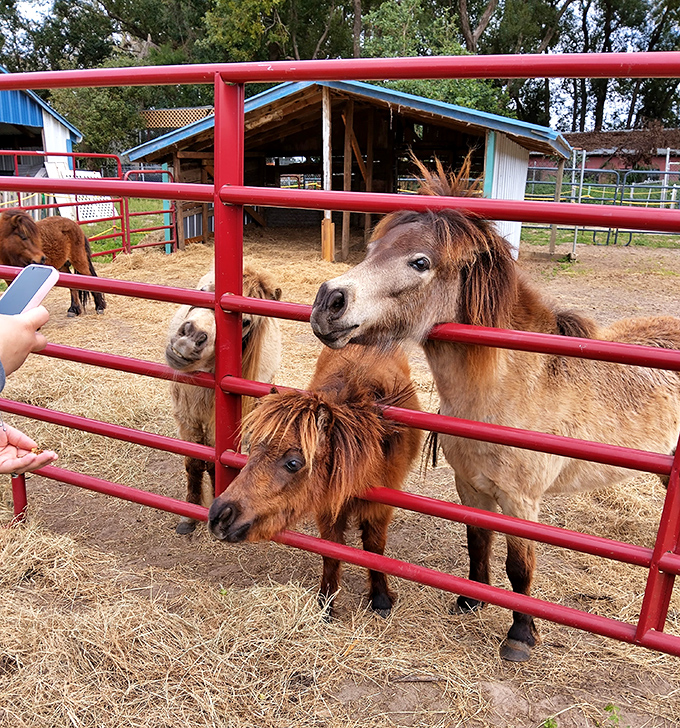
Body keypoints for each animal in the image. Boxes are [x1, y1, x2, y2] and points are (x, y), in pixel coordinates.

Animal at [166, 266, 283, 535]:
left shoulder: (213, 424)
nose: (190, 337)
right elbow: (193, 462)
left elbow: (212, 463)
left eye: (245, 322)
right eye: (201, 290)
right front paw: (188, 517)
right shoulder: (186, 417)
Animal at [208, 343, 423, 618]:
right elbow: (331, 551)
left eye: (293, 463)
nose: (219, 515)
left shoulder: (379, 507)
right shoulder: (327, 509)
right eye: (252, 447)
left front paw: (381, 598)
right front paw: (326, 603)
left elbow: (375, 548)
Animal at [310, 157, 680, 661]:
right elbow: (477, 542)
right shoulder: (471, 488)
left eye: (420, 261)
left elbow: (520, 566)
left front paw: (520, 635)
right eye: (370, 249)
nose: (328, 302)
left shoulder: (521, 502)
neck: (508, 392)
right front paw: (471, 600)